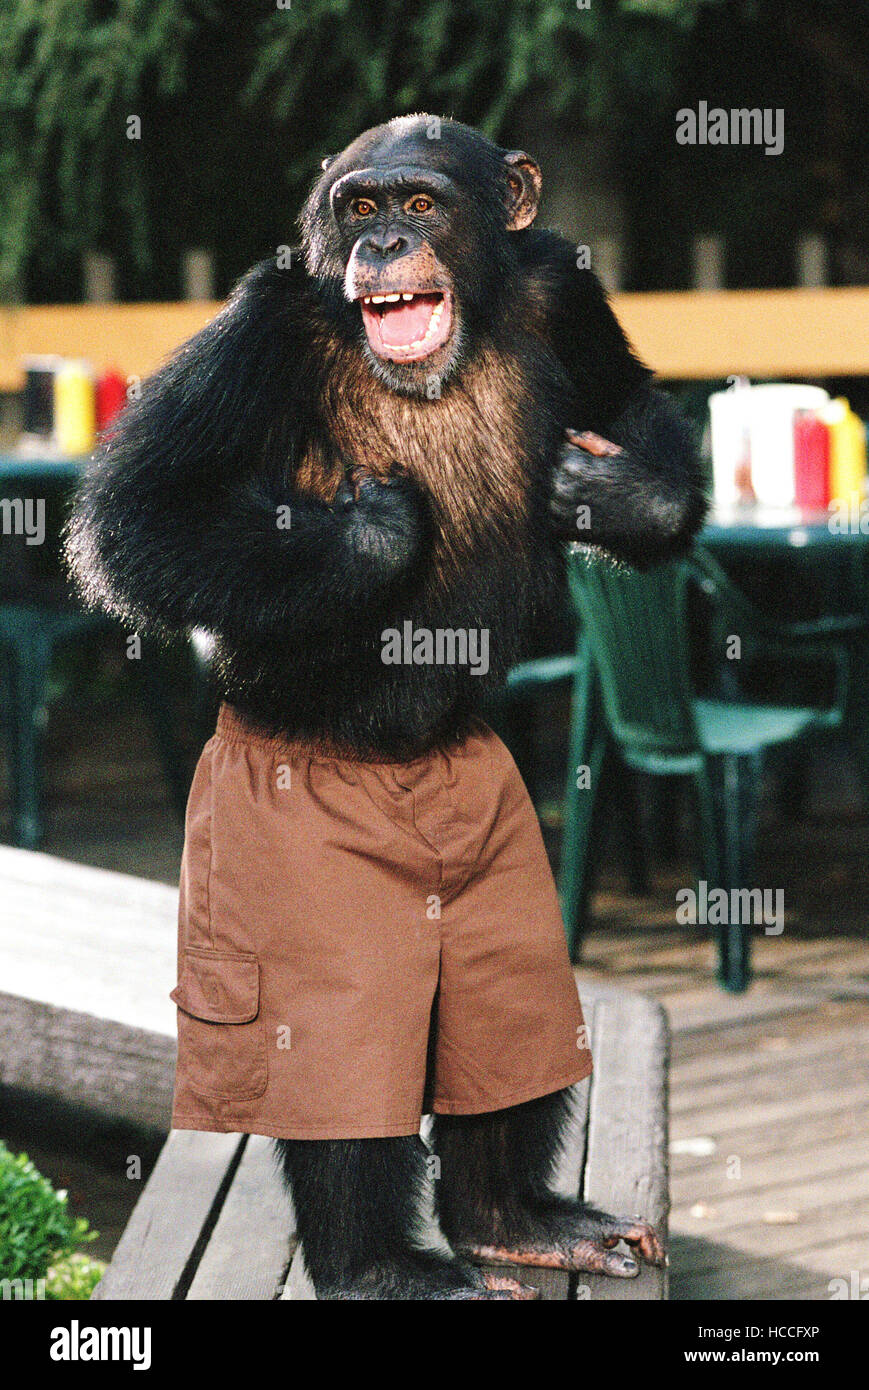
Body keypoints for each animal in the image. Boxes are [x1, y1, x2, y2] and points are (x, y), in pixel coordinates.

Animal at [68, 114, 703, 1299]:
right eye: (356, 208)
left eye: (418, 201)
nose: (382, 247)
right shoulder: (258, 327)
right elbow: (138, 512)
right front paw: (375, 533)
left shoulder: (561, 283)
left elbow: (628, 397)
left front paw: (625, 494)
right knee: (343, 1044)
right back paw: (378, 1265)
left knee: (509, 1017)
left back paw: (514, 1216)